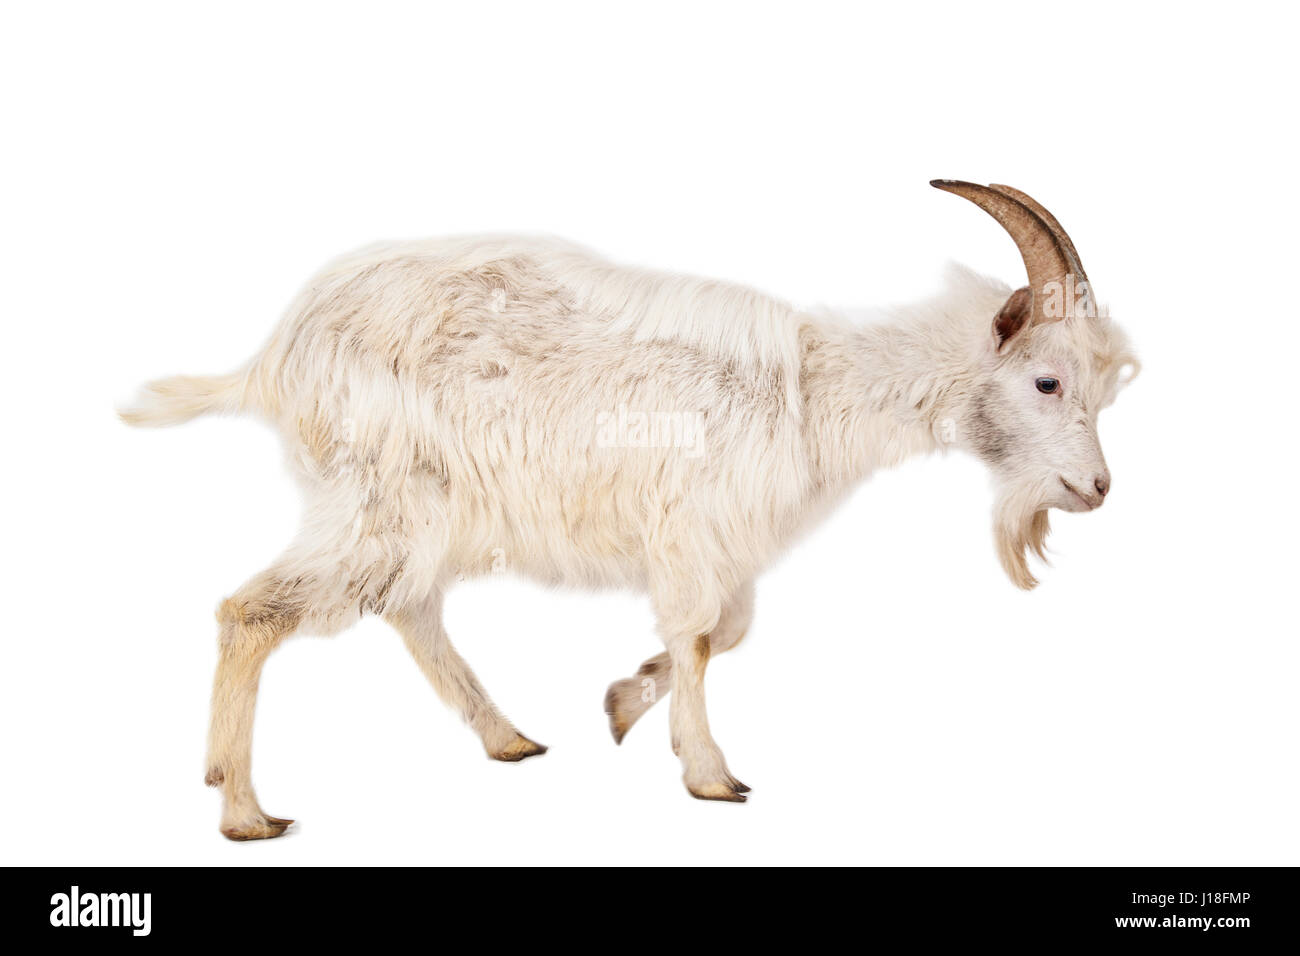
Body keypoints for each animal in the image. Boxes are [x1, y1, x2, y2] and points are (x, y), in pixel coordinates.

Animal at [121, 180, 1137, 839]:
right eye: (1047, 381)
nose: (1097, 490)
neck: (815, 391)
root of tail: (274, 355)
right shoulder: (690, 527)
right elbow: (697, 635)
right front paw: (711, 775)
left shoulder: (723, 547)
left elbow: (722, 634)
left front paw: (620, 703)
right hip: (380, 496)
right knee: (254, 611)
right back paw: (244, 809)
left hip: (420, 507)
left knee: (408, 608)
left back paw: (507, 739)